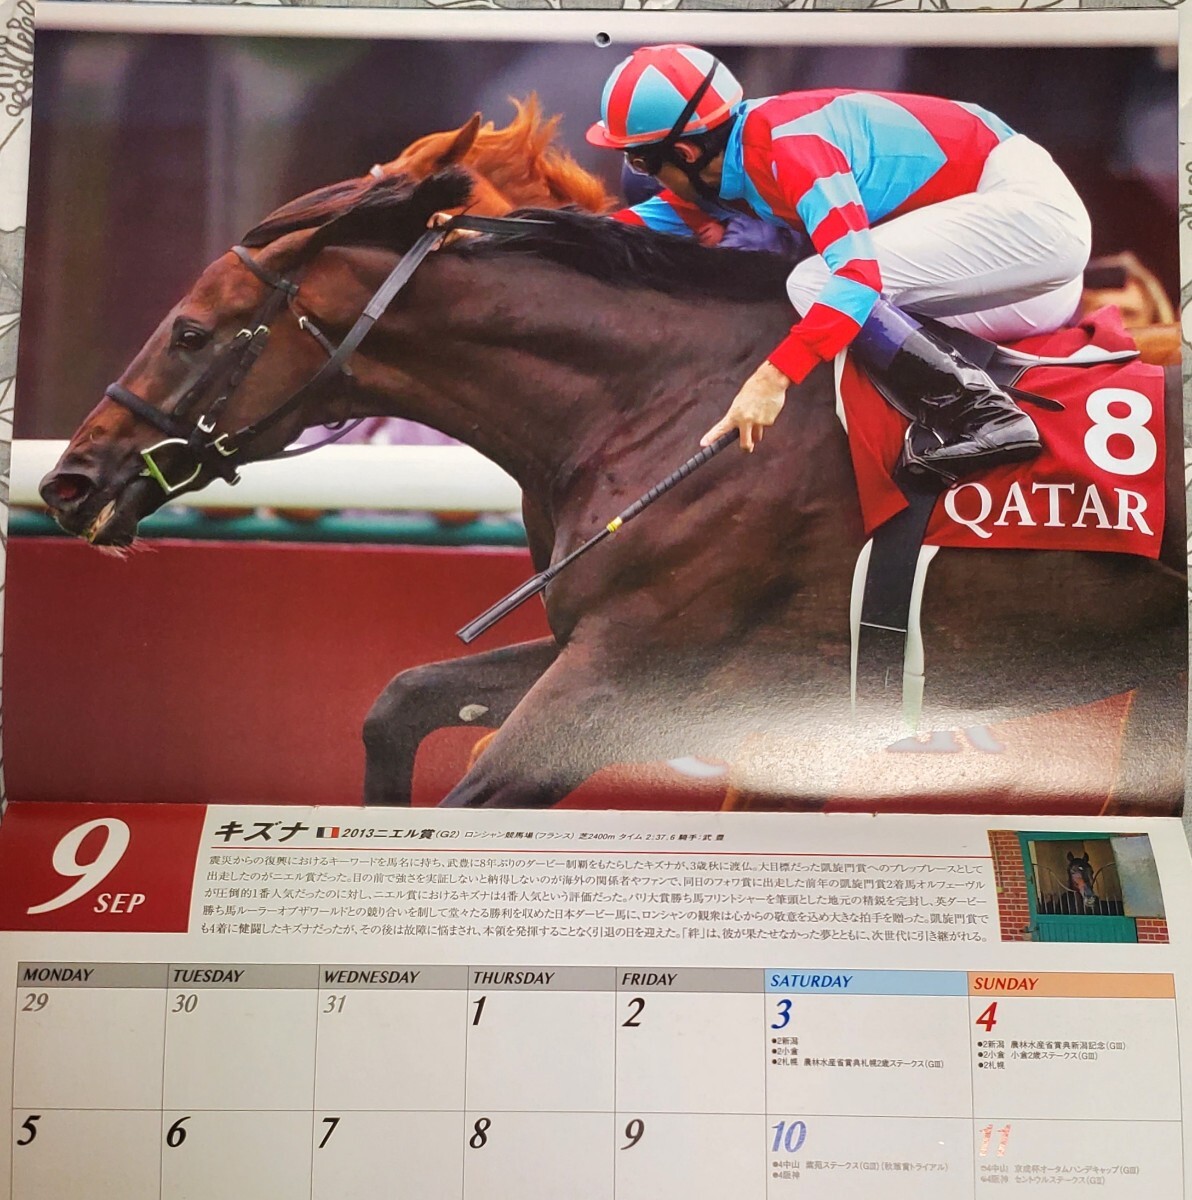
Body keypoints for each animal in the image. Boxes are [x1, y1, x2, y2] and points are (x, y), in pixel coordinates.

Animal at [38, 168, 1187, 811]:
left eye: (191, 332)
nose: (68, 479)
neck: (659, 403)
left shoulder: (629, 672)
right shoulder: (594, 640)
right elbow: (399, 702)